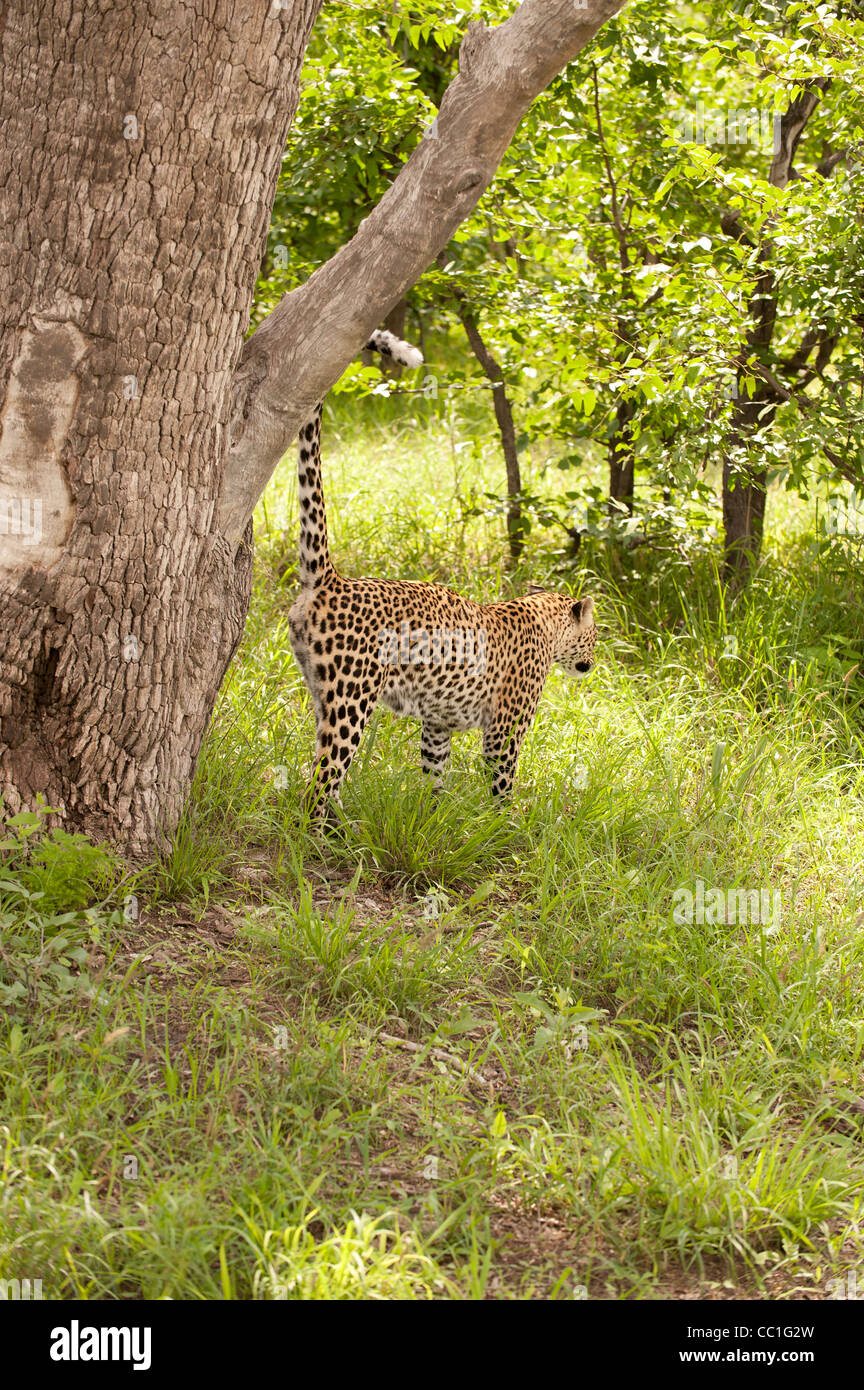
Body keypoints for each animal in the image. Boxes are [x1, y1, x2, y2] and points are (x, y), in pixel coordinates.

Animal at [288, 329, 598, 817]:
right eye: (596, 633)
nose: (593, 663)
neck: (546, 625)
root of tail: (331, 579)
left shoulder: (437, 724)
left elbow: (436, 774)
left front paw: (436, 818)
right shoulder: (504, 730)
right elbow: (503, 783)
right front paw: (506, 824)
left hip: (321, 695)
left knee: (324, 774)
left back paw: (344, 827)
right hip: (352, 698)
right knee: (320, 781)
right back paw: (323, 829)